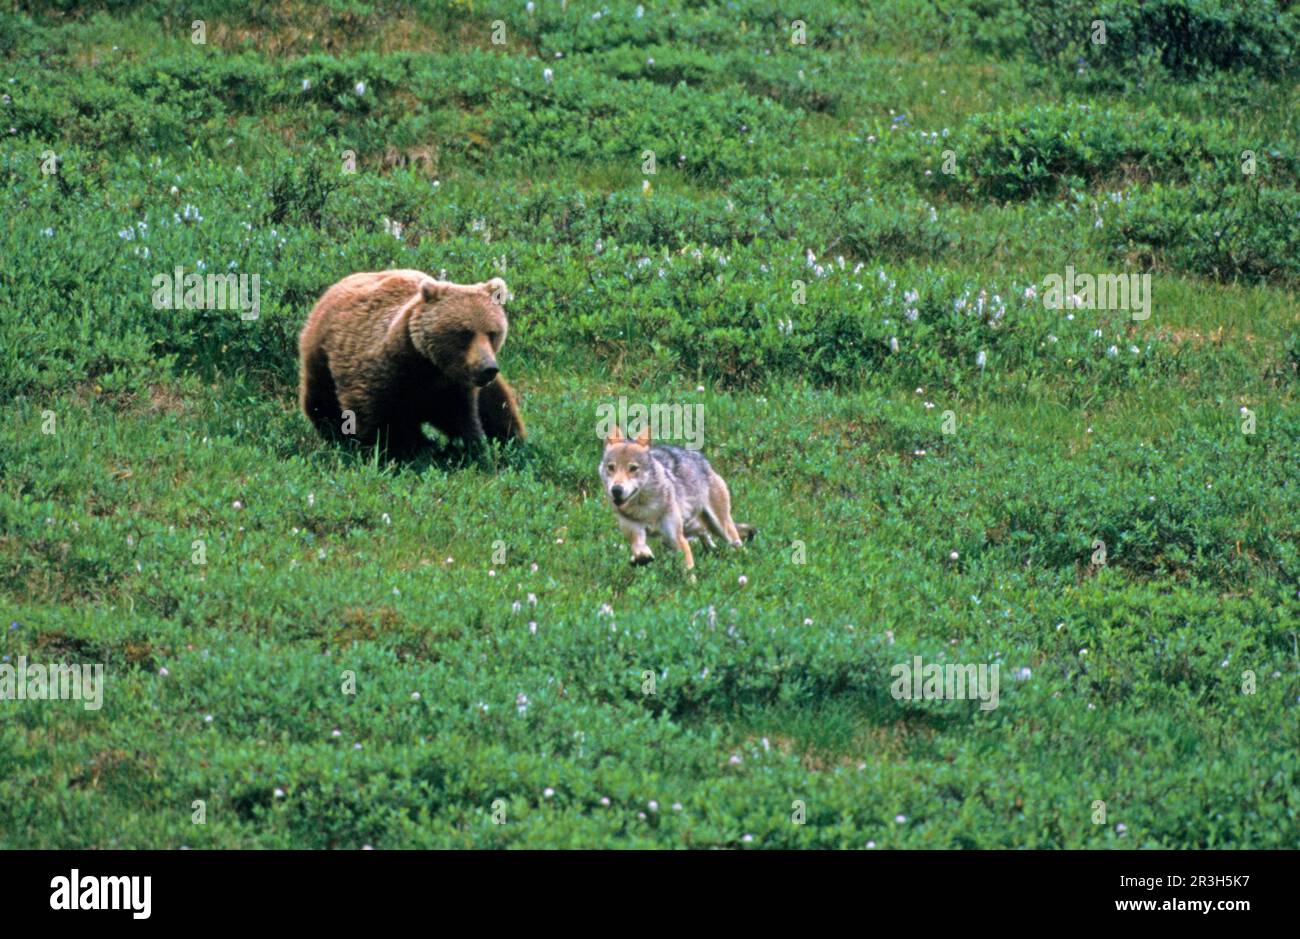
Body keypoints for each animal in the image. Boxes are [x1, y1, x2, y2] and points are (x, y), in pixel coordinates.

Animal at [299, 269, 522, 452]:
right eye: (464, 333)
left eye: (492, 333)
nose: (488, 368)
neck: (427, 366)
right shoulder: (383, 377)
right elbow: (382, 423)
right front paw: (410, 450)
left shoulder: (454, 386)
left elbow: (463, 418)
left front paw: (468, 448)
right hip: (320, 358)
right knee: (321, 403)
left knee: (499, 405)